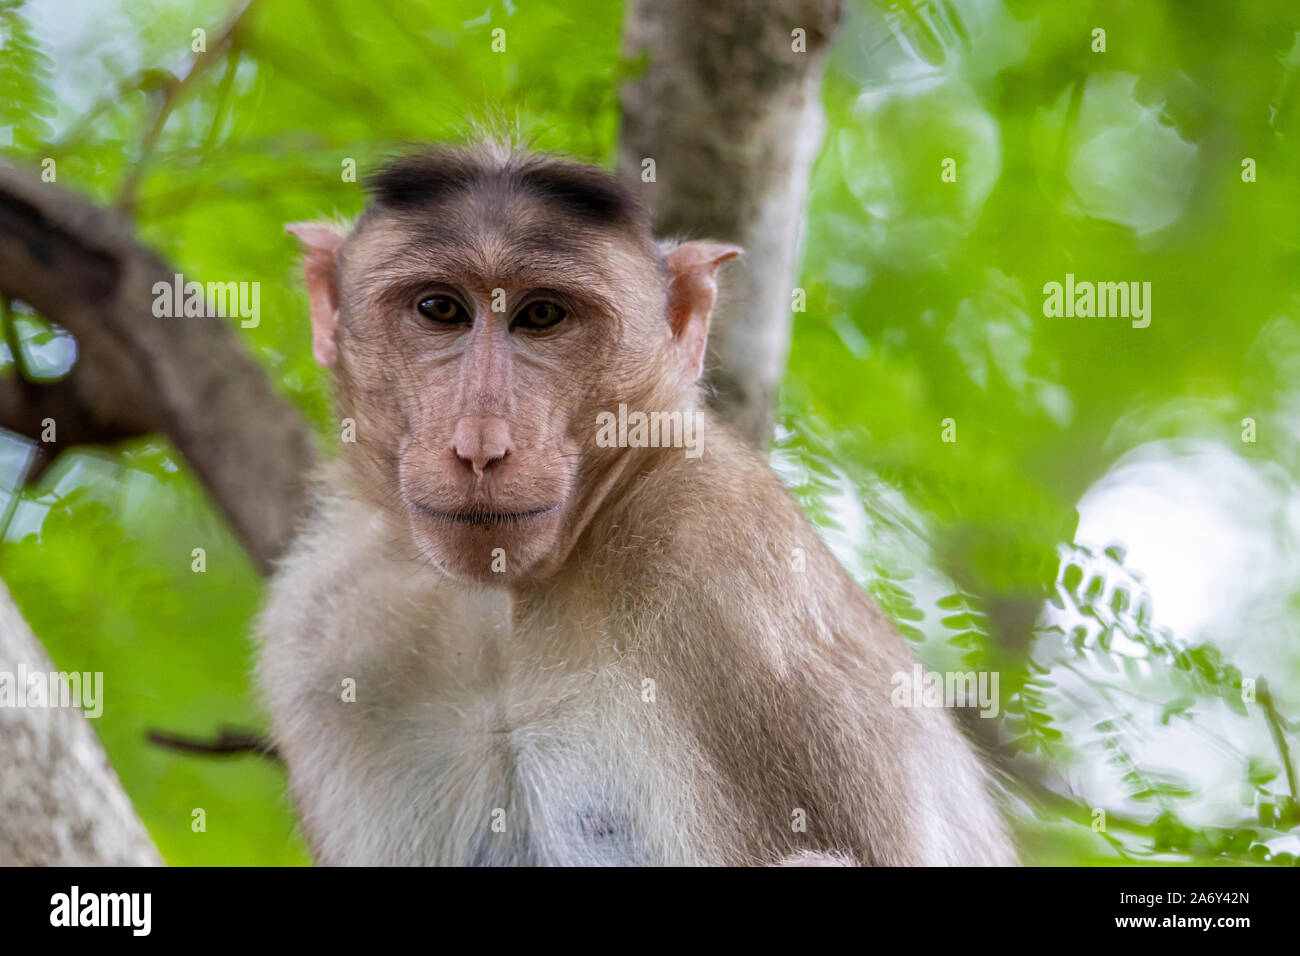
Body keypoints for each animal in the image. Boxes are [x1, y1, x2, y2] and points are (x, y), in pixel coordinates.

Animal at [255, 139, 1016, 866]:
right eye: (440, 309)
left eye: (542, 315)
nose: (480, 446)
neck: (508, 606)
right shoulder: (327, 626)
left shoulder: (728, 560)